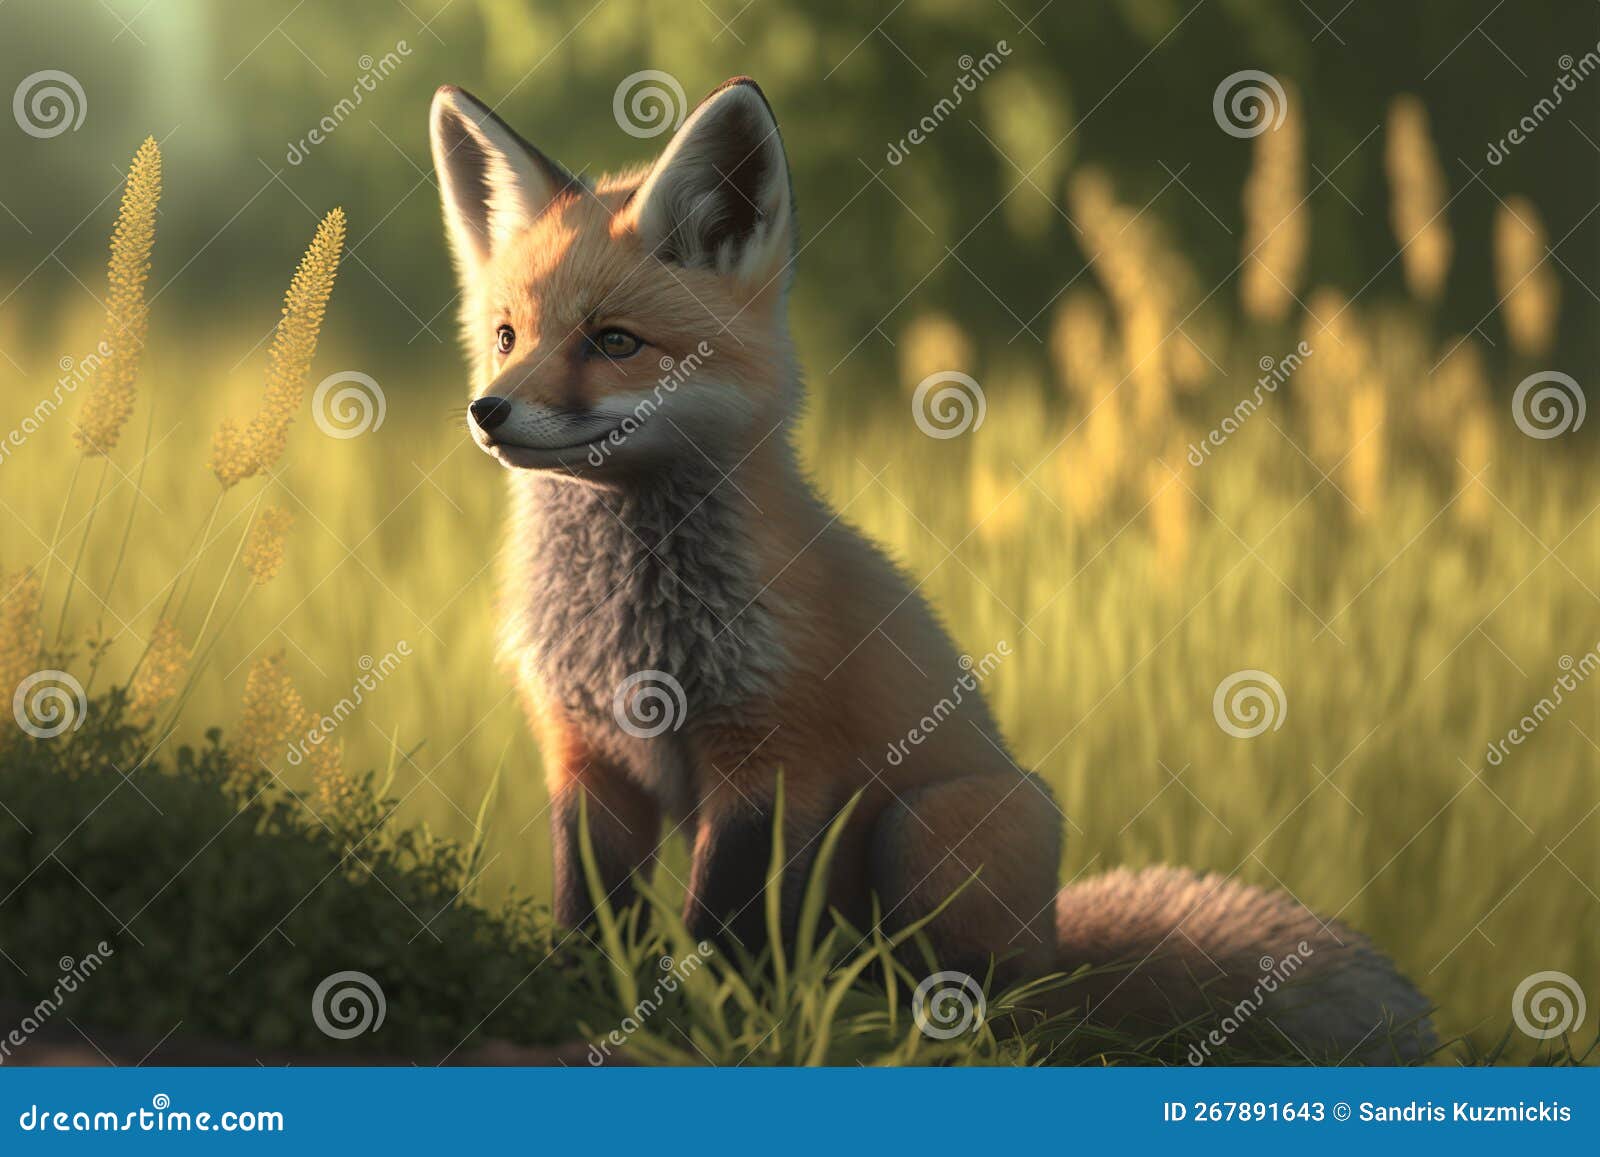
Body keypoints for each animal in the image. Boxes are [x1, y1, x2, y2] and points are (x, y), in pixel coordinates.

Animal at [428, 76, 1436, 1062]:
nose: (488, 410)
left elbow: (719, 927)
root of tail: (1055, 944)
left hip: (931, 826)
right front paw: (585, 1002)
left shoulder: (772, 756)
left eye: (614, 342)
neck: (628, 626)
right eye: (509, 335)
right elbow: (590, 915)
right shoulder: (586, 755)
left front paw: (699, 1027)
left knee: (982, 1009)